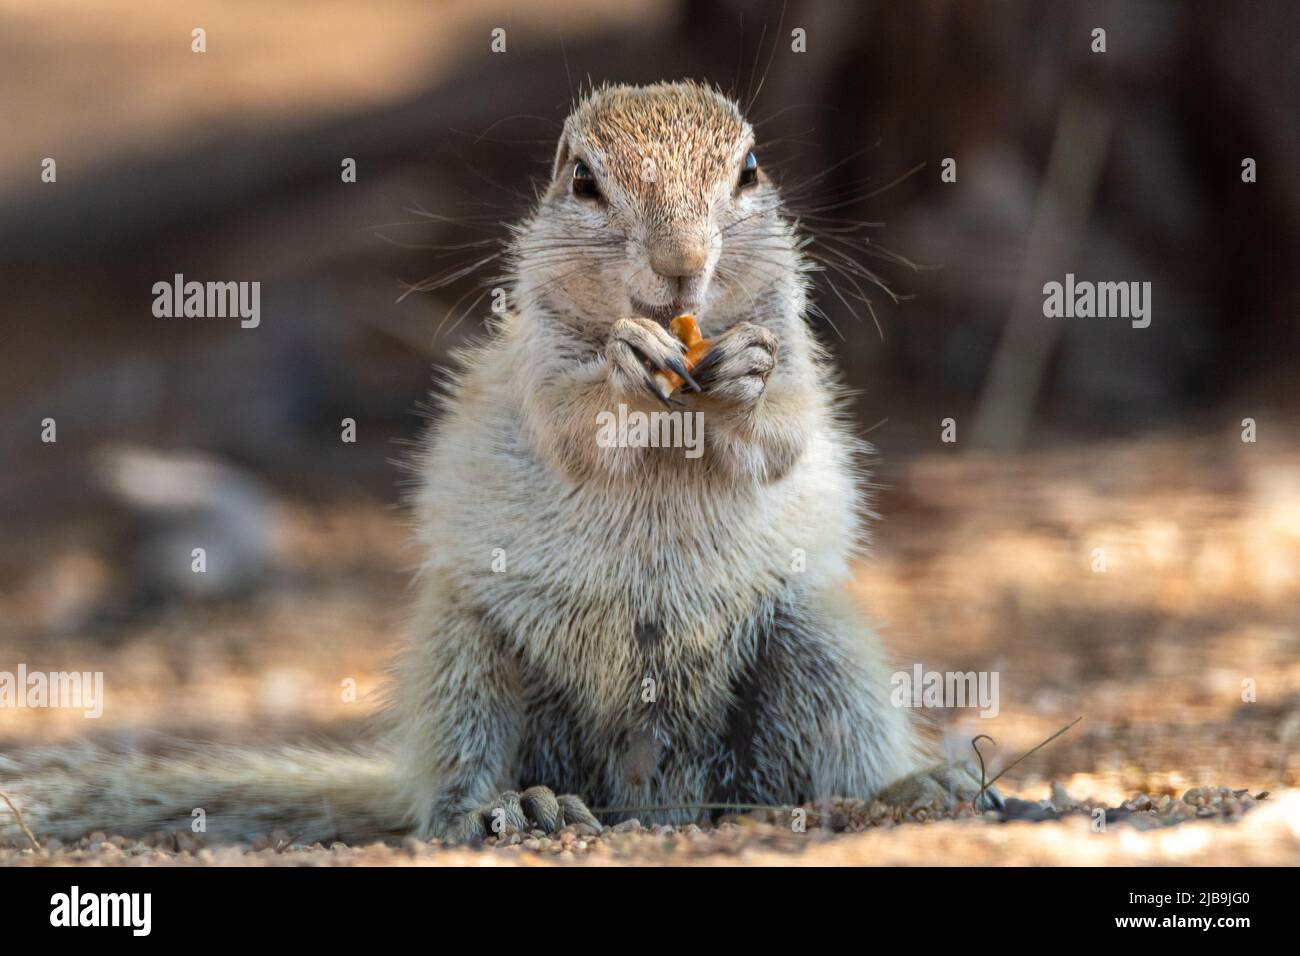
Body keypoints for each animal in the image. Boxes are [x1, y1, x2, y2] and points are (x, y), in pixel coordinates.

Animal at [0, 81, 998, 847]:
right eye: (584, 181)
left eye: (749, 170)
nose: (682, 264)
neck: (679, 401)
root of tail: (653, 799)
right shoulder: (536, 367)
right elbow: (571, 420)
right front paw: (624, 365)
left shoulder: (801, 356)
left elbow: (787, 429)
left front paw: (746, 375)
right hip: (465, 656)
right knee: (456, 781)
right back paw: (517, 806)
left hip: (818, 640)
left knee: (819, 768)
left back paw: (906, 790)